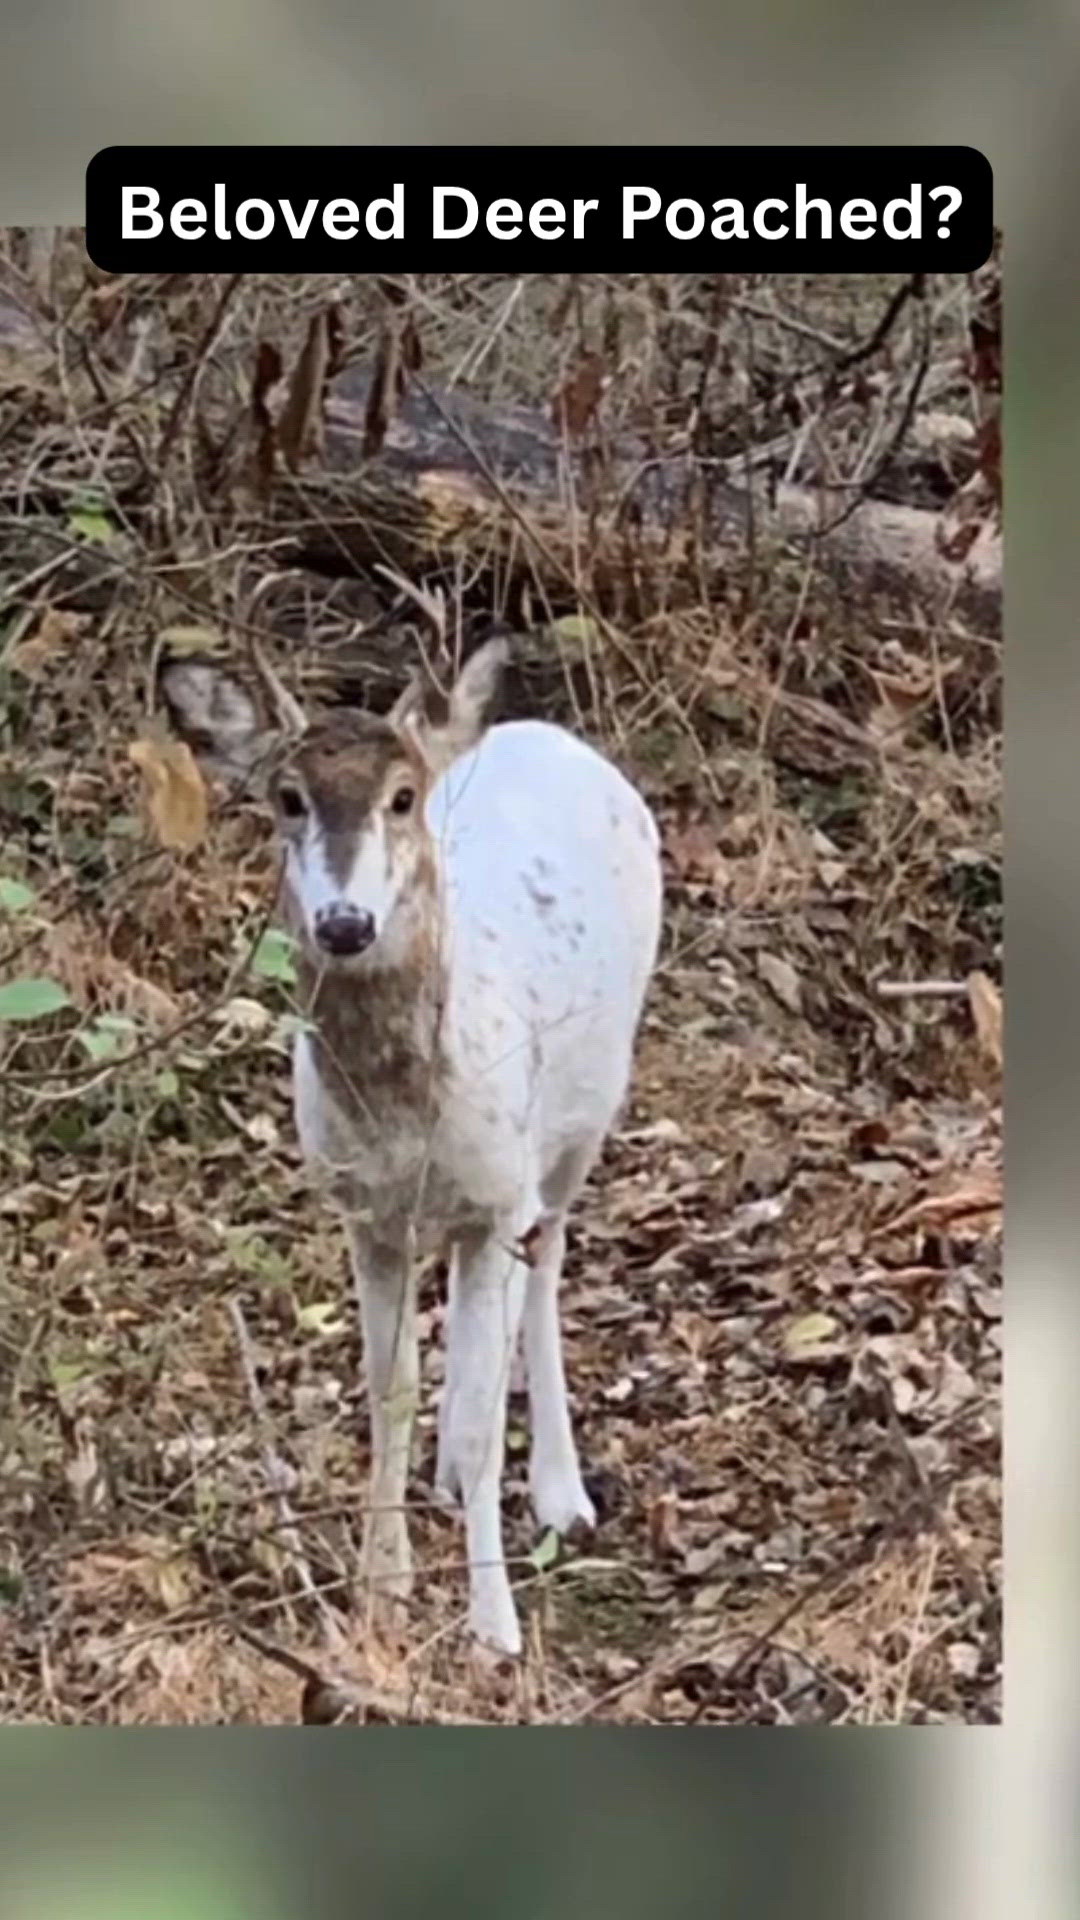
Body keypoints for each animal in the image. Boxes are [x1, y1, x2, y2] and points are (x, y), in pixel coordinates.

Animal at [161, 638, 662, 1655]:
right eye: (287, 797)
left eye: (402, 797)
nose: (346, 924)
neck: (405, 1116)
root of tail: (548, 733)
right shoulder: (365, 1212)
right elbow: (388, 1389)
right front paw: (380, 1587)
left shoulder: (495, 1199)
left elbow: (479, 1413)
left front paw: (493, 1626)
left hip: (582, 1119)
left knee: (550, 1262)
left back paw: (560, 1490)